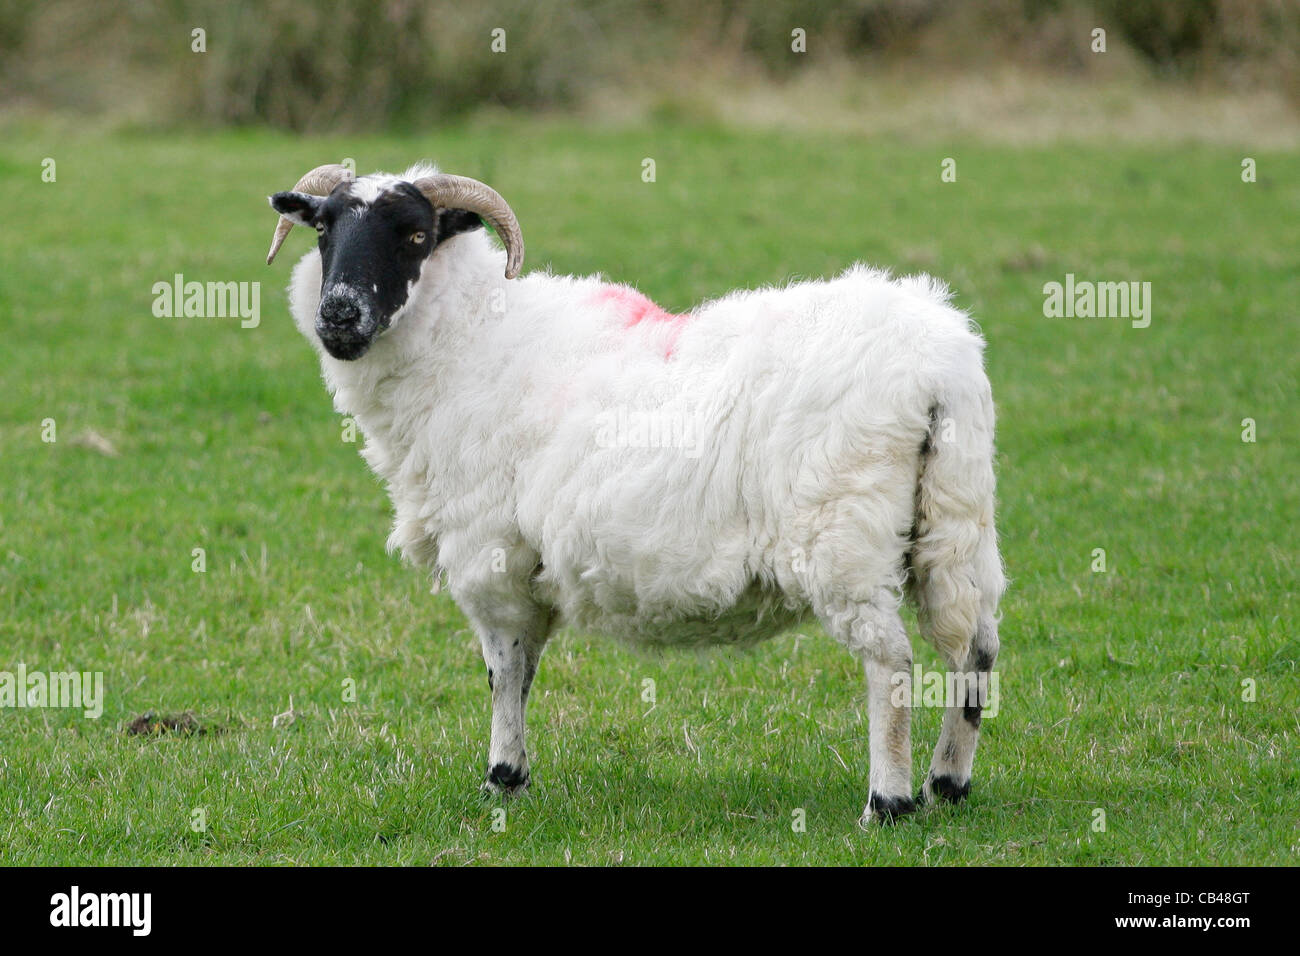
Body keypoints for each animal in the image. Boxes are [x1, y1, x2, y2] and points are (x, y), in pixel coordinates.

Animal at [266, 162, 1006, 824]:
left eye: (416, 234)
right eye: (324, 230)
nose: (339, 315)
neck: (467, 339)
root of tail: (938, 364)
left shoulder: (490, 555)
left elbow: (503, 672)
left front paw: (501, 779)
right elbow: (525, 670)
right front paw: (514, 776)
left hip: (842, 534)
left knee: (892, 664)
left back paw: (889, 801)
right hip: (959, 517)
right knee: (975, 650)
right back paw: (948, 784)